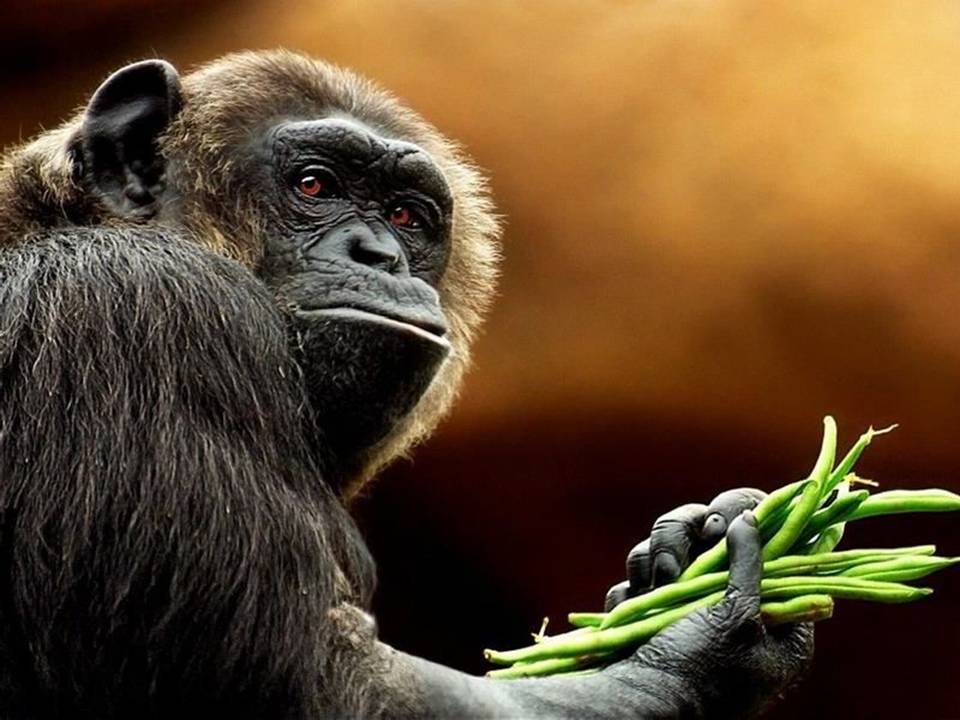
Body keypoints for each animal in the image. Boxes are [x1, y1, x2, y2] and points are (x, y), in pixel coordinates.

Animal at [0, 51, 812, 718]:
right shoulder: (147, 315)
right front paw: (697, 641)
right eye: (315, 184)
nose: (379, 253)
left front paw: (683, 548)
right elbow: (327, 684)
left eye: (403, 215)